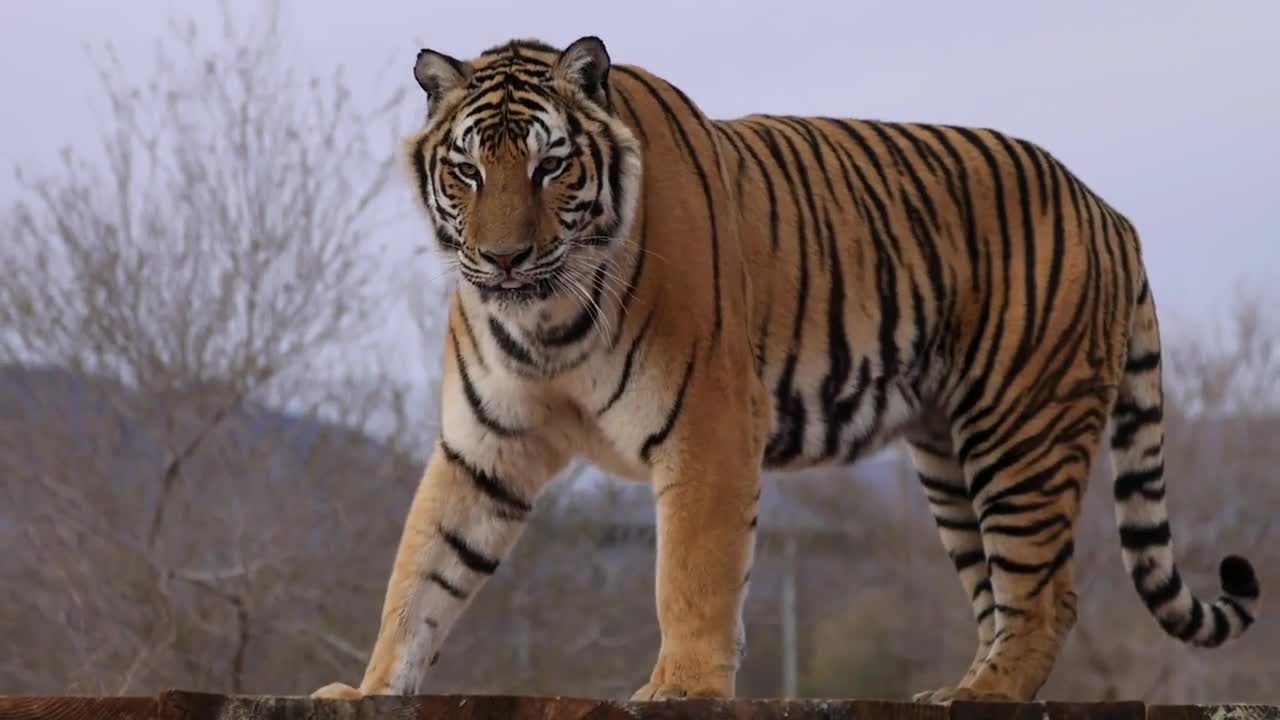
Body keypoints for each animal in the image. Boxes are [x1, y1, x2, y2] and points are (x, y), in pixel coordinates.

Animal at [311, 36, 1261, 703]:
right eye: (467, 170)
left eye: (551, 165)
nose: (503, 259)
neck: (546, 321)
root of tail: (1113, 211)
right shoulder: (483, 446)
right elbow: (421, 573)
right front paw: (369, 689)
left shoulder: (709, 425)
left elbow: (691, 576)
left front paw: (681, 689)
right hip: (950, 456)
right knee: (1001, 594)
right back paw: (958, 689)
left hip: (1019, 430)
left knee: (1046, 595)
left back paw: (982, 696)